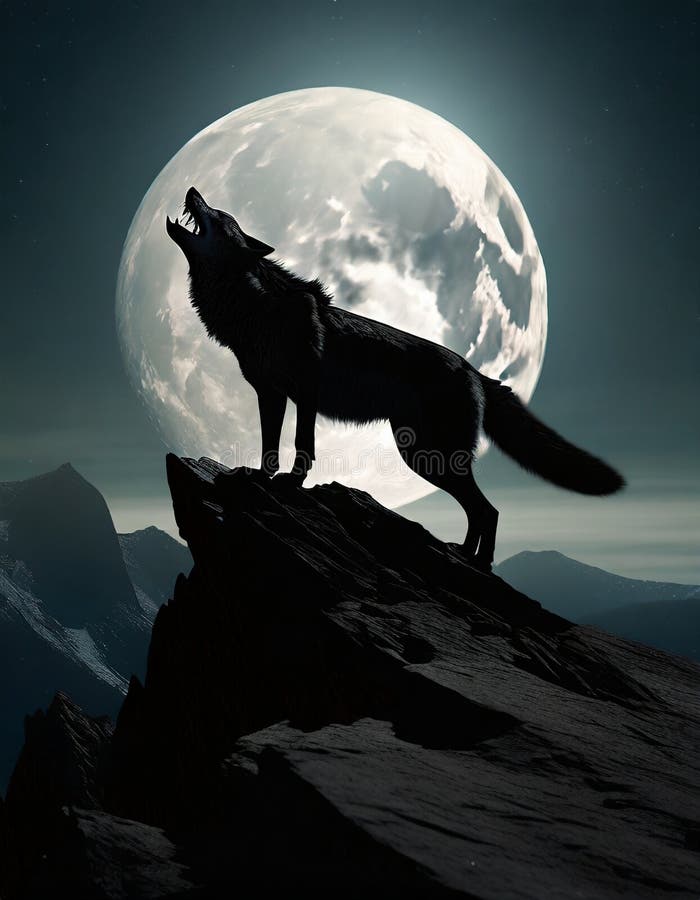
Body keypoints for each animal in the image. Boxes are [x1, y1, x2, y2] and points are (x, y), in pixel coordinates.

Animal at [167, 187, 624, 571]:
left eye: (217, 213)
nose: (190, 189)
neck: (252, 309)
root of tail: (476, 372)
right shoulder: (271, 394)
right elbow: (269, 445)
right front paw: (262, 478)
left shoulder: (306, 392)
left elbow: (301, 445)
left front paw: (292, 482)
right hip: (423, 454)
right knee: (480, 509)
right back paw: (464, 553)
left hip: (428, 456)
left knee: (487, 509)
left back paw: (478, 562)